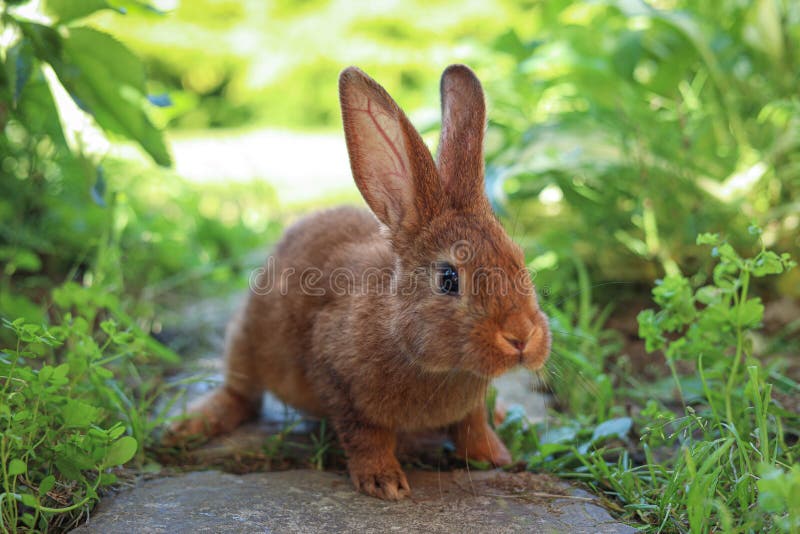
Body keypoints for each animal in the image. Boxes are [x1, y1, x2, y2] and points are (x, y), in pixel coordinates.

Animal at [169, 64, 551, 501]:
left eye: (520, 260)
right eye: (449, 278)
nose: (522, 338)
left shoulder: (469, 405)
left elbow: (473, 425)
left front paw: (497, 456)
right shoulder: (337, 381)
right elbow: (366, 436)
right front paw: (385, 482)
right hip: (246, 340)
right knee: (241, 394)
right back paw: (186, 427)